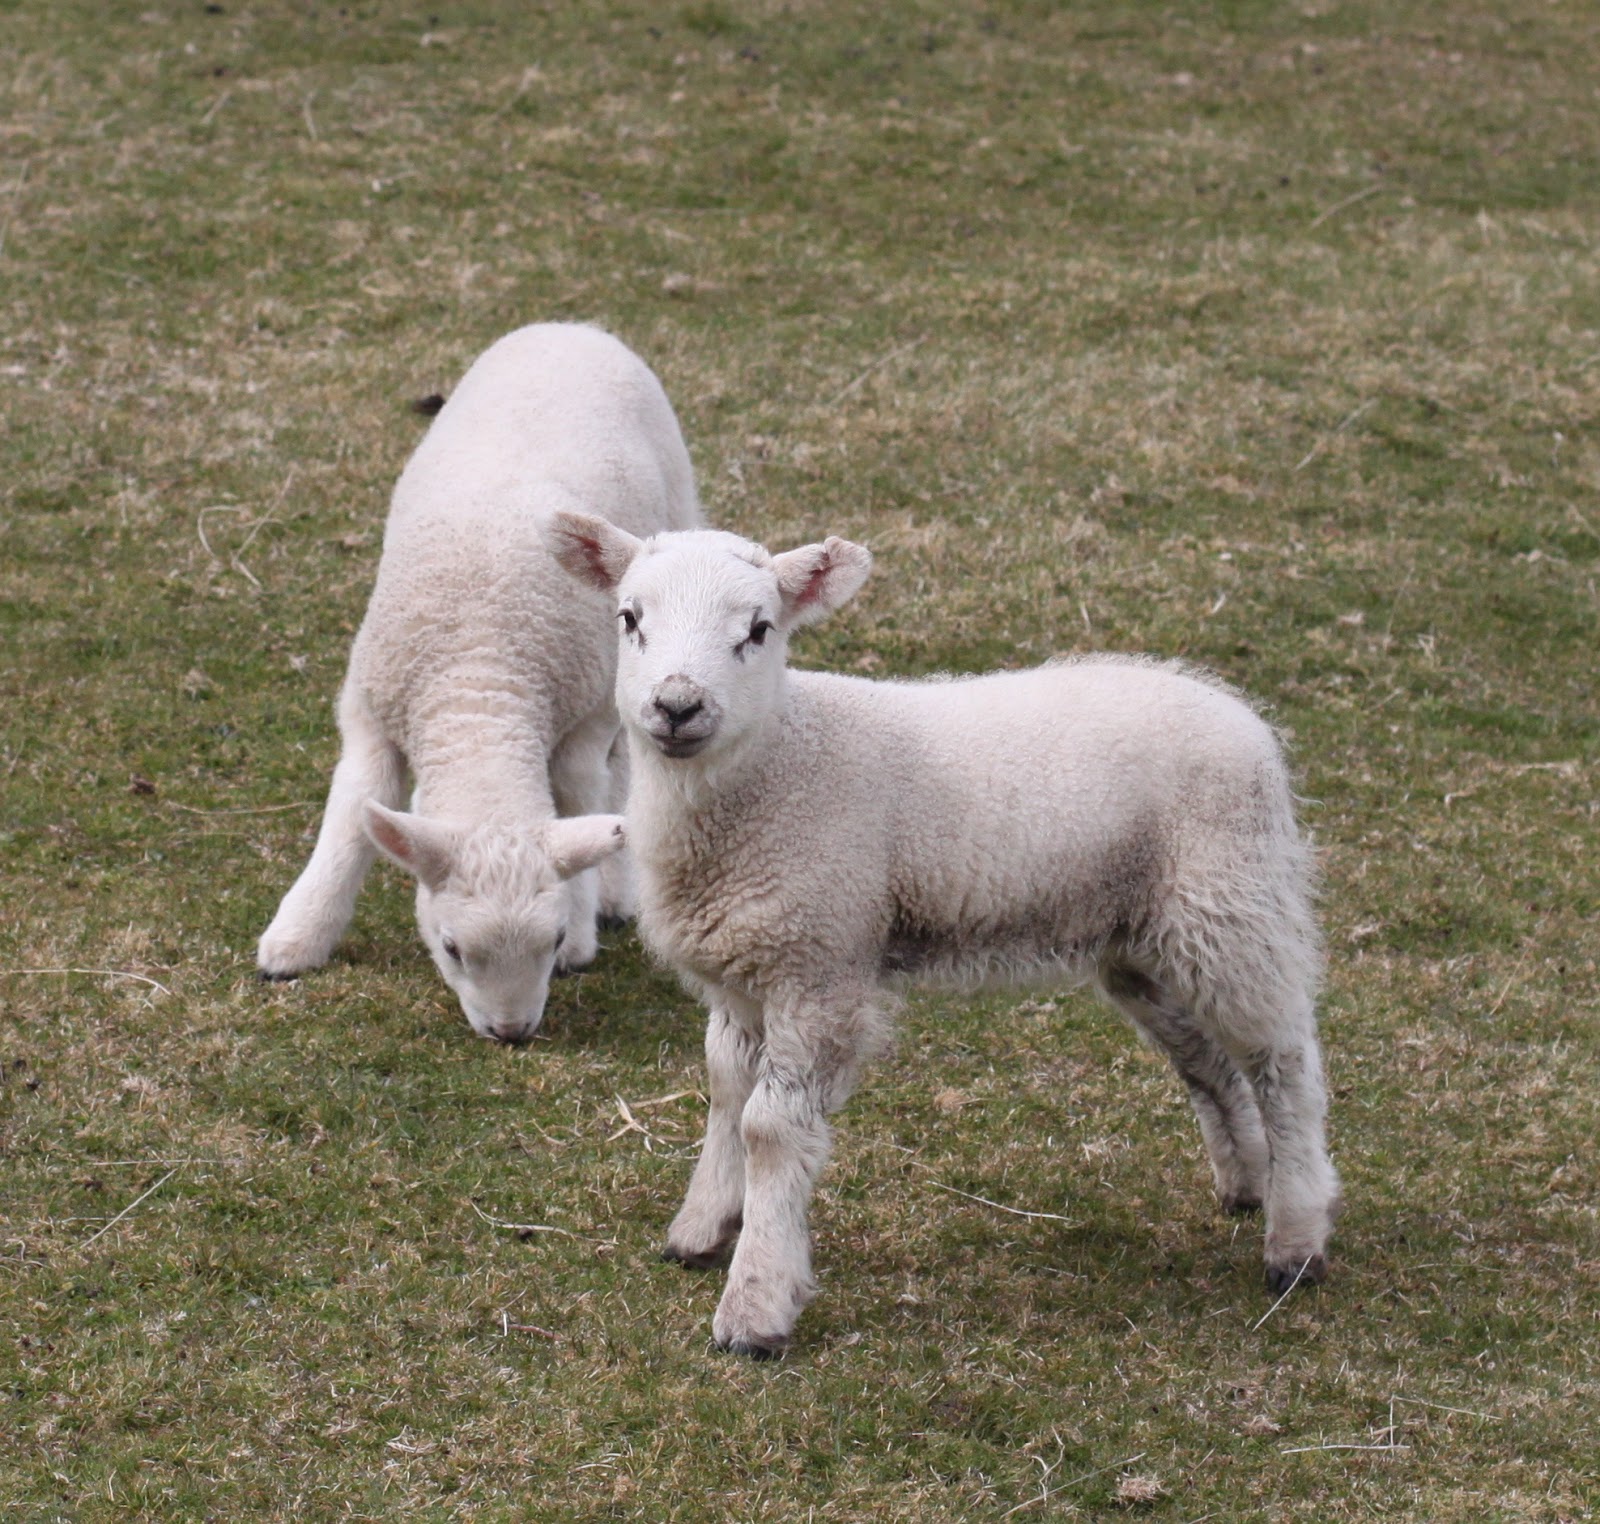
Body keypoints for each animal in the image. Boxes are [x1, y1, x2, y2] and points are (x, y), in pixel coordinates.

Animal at [257, 323, 701, 1043]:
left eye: (551, 943)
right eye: (451, 949)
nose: (512, 1033)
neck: (479, 686)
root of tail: (573, 326)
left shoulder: (579, 722)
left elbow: (580, 795)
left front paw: (588, 917)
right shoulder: (371, 717)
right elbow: (350, 821)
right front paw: (297, 937)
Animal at [549, 515, 1341, 1358]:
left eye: (759, 629)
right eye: (630, 618)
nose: (677, 705)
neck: (776, 765)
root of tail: (1242, 715)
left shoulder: (820, 964)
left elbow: (770, 1127)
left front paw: (756, 1305)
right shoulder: (743, 974)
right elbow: (727, 1095)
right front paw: (702, 1229)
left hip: (1231, 908)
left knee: (1285, 1065)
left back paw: (1296, 1238)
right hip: (1147, 943)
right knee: (1207, 1061)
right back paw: (1248, 1182)